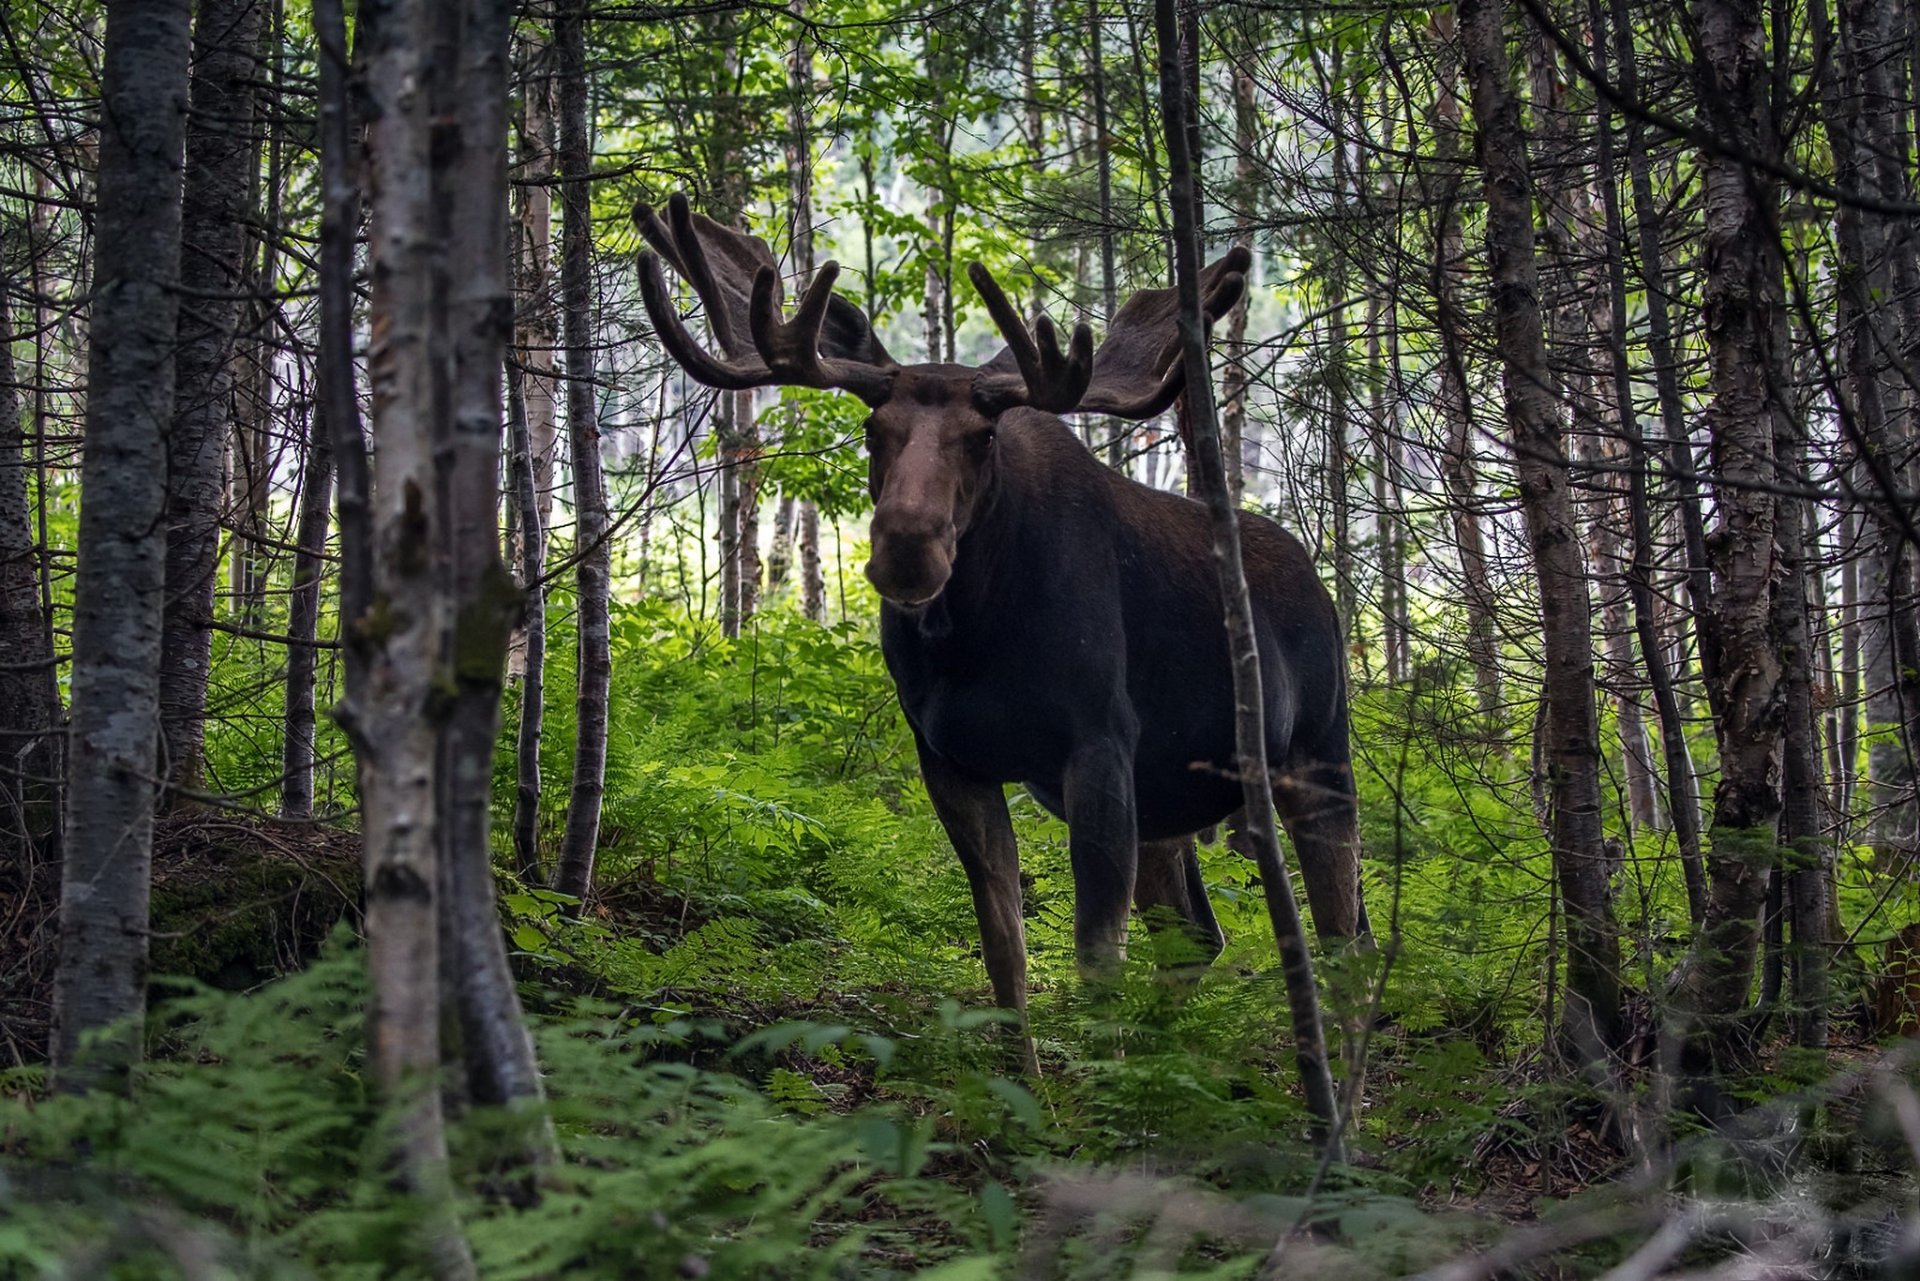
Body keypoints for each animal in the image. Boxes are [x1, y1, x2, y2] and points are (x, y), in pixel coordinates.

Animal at [635, 195, 1366, 1068]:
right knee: (1200, 935)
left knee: (1344, 937)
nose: (907, 543)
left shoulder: (1099, 747)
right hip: (1172, 800)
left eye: (982, 436)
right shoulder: (952, 759)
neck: (975, 637)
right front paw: (1037, 1088)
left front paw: (1097, 1090)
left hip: (1318, 755)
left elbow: (1094, 959)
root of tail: (1321, 587)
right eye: (873, 429)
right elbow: (1004, 953)